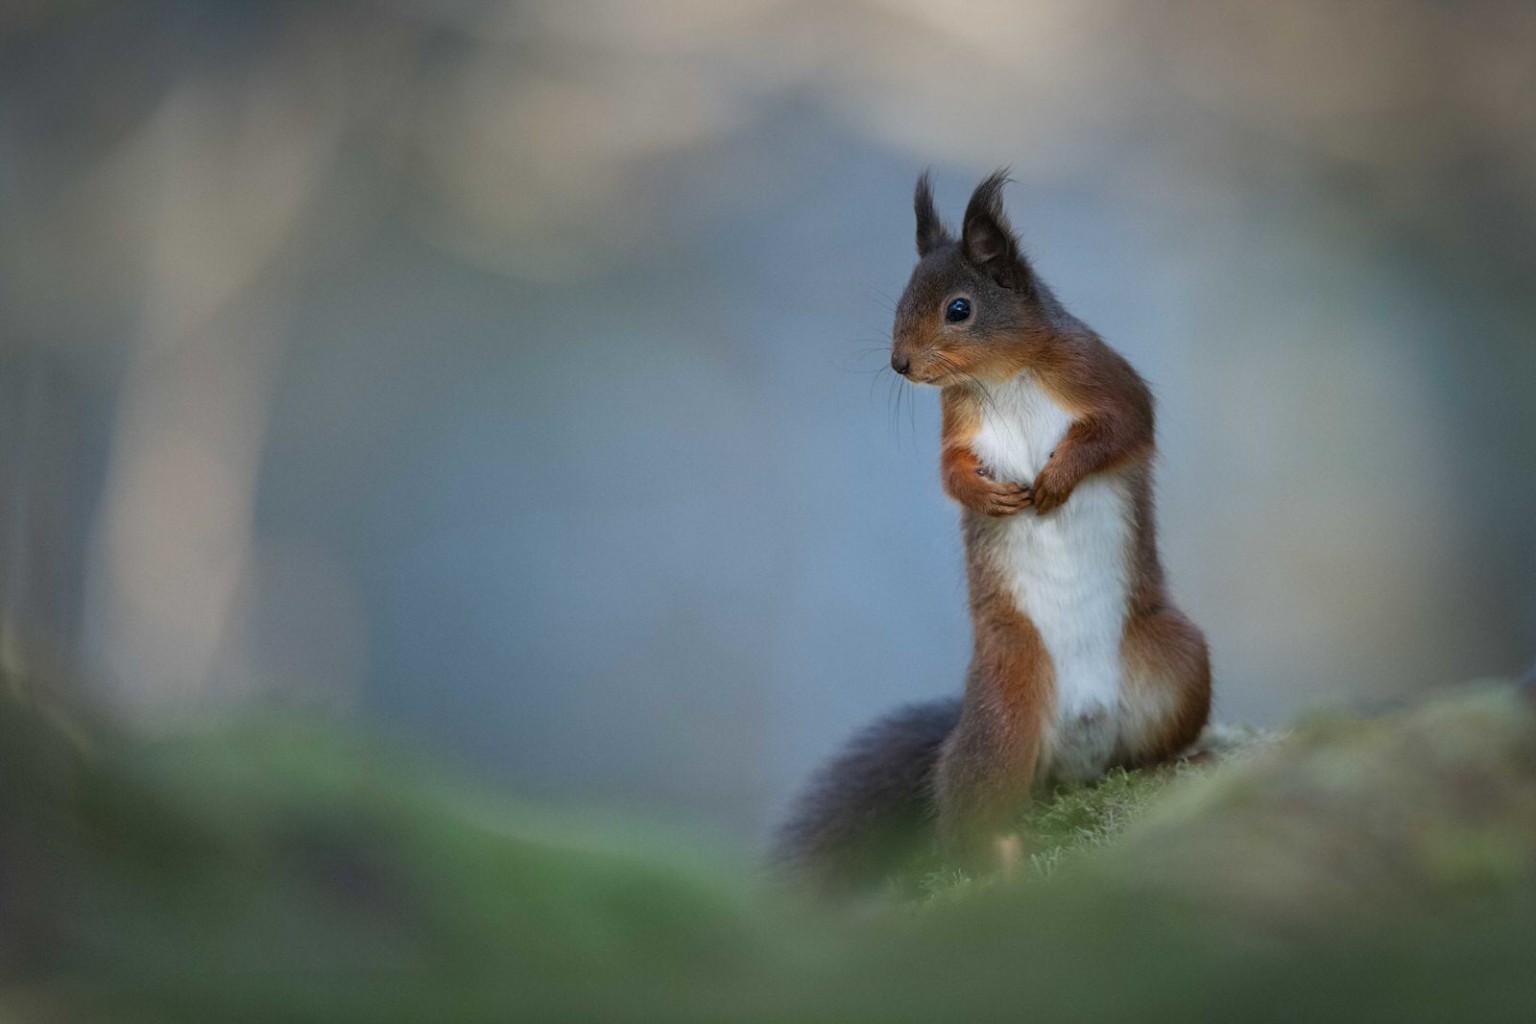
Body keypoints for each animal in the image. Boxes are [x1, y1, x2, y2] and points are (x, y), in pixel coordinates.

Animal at [774, 171, 1212, 892]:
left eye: (959, 308)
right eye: (902, 297)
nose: (899, 364)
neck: (1002, 379)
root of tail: (1079, 750)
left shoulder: (1103, 376)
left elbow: (1125, 427)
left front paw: (1058, 478)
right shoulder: (960, 426)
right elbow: (951, 473)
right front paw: (988, 494)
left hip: (1178, 661)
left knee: (1146, 750)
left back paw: (1174, 765)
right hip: (1003, 714)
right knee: (970, 817)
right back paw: (1000, 855)